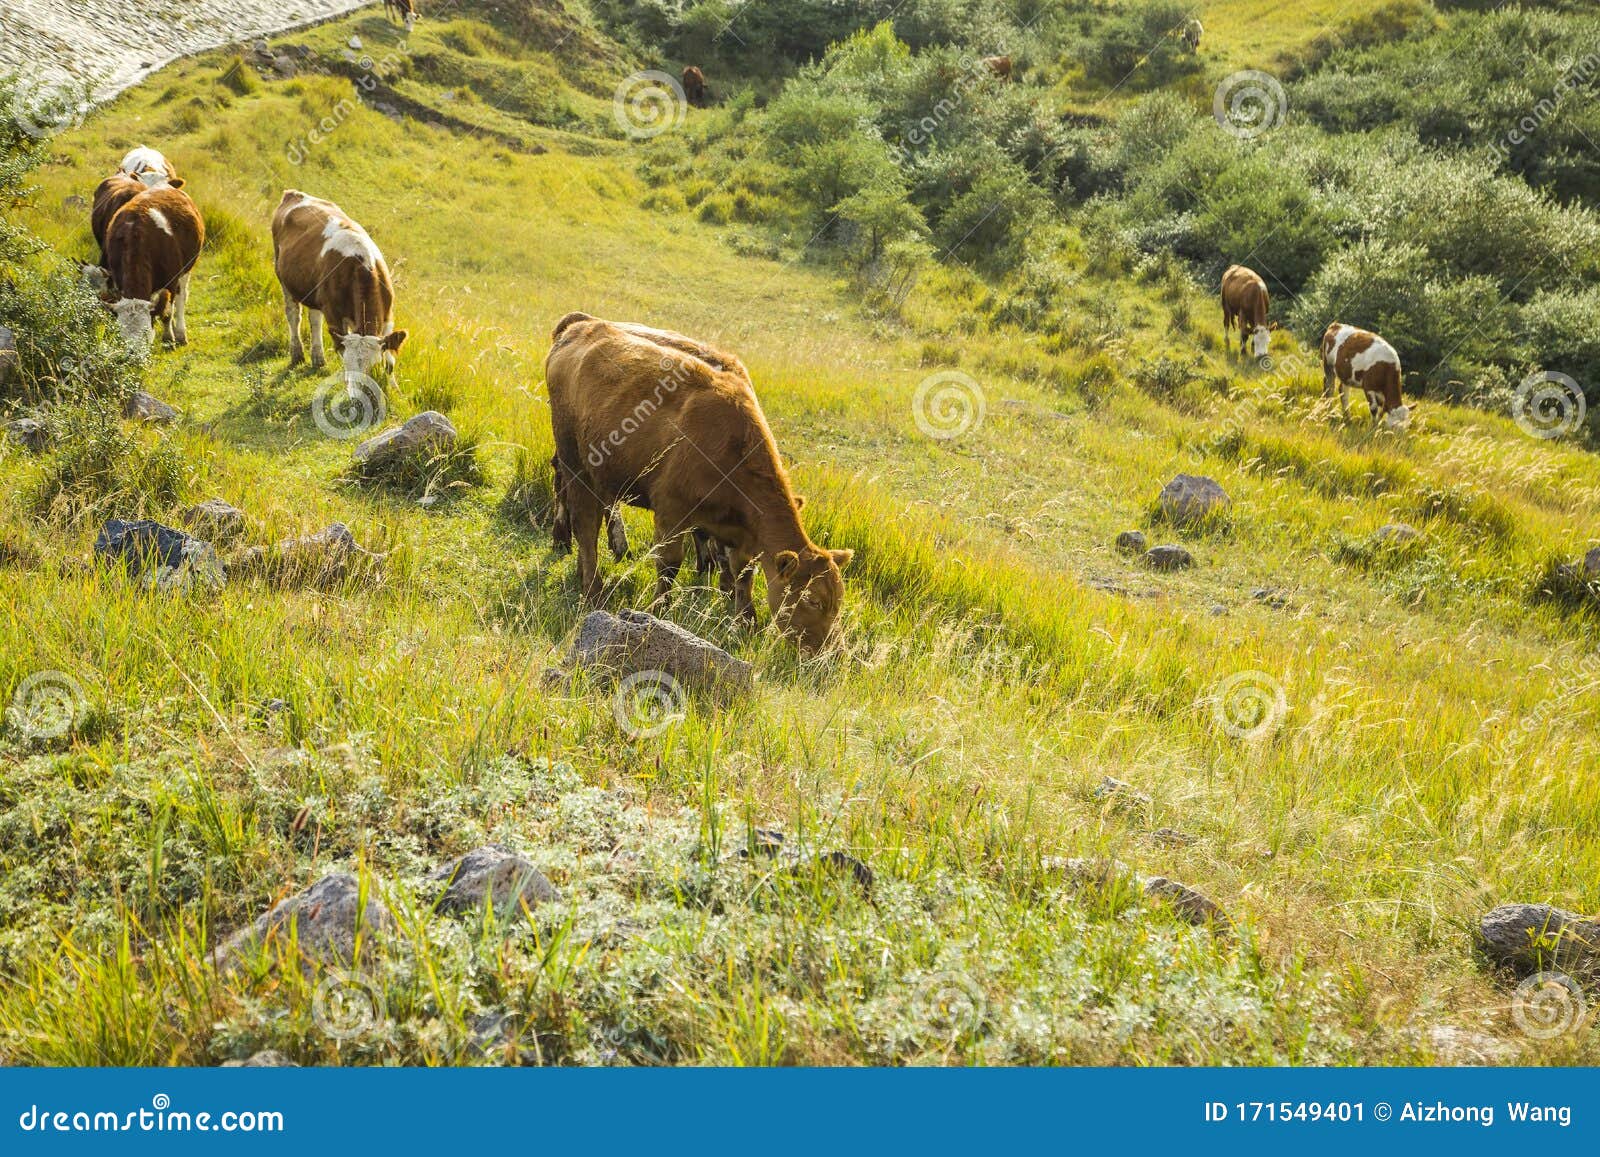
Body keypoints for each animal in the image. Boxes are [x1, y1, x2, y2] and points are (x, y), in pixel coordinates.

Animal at [102, 184, 205, 350]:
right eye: (121, 334)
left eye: (145, 333)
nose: (133, 354)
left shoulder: (171, 281)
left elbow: (167, 313)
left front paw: (169, 338)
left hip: (186, 270)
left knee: (181, 297)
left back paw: (180, 333)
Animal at [271, 190, 407, 381]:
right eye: (349, 366)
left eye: (373, 367)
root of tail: (294, 194)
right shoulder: (334, 316)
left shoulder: (388, 317)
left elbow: (389, 361)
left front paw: (391, 384)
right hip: (283, 278)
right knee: (293, 315)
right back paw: (297, 354)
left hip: (314, 292)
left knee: (314, 319)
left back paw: (318, 358)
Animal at [546, 312, 852, 651]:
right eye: (812, 600)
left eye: (838, 602)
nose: (833, 650)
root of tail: (584, 325)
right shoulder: (671, 512)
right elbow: (669, 564)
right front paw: (659, 609)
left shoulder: (740, 534)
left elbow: (743, 573)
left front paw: (745, 620)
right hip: (575, 461)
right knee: (584, 523)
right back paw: (590, 583)